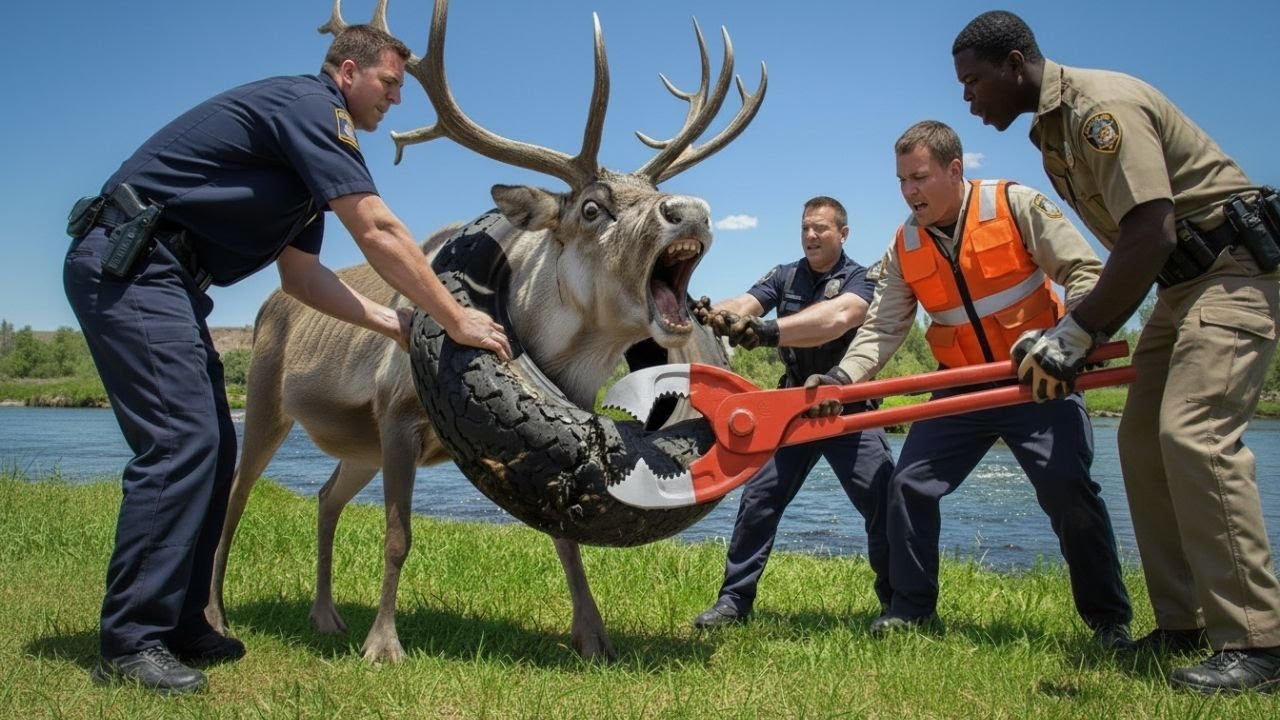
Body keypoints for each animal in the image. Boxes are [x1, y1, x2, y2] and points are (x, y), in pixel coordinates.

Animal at [206, 0, 765, 662]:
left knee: (324, 497)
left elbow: (567, 537)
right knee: (235, 495)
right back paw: (216, 615)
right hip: (268, 396)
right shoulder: (395, 412)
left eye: (655, 191)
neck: (563, 356)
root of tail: (269, 302)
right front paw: (384, 644)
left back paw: (325, 615)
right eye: (592, 208)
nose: (692, 210)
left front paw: (593, 636)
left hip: (357, 447)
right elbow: (398, 535)